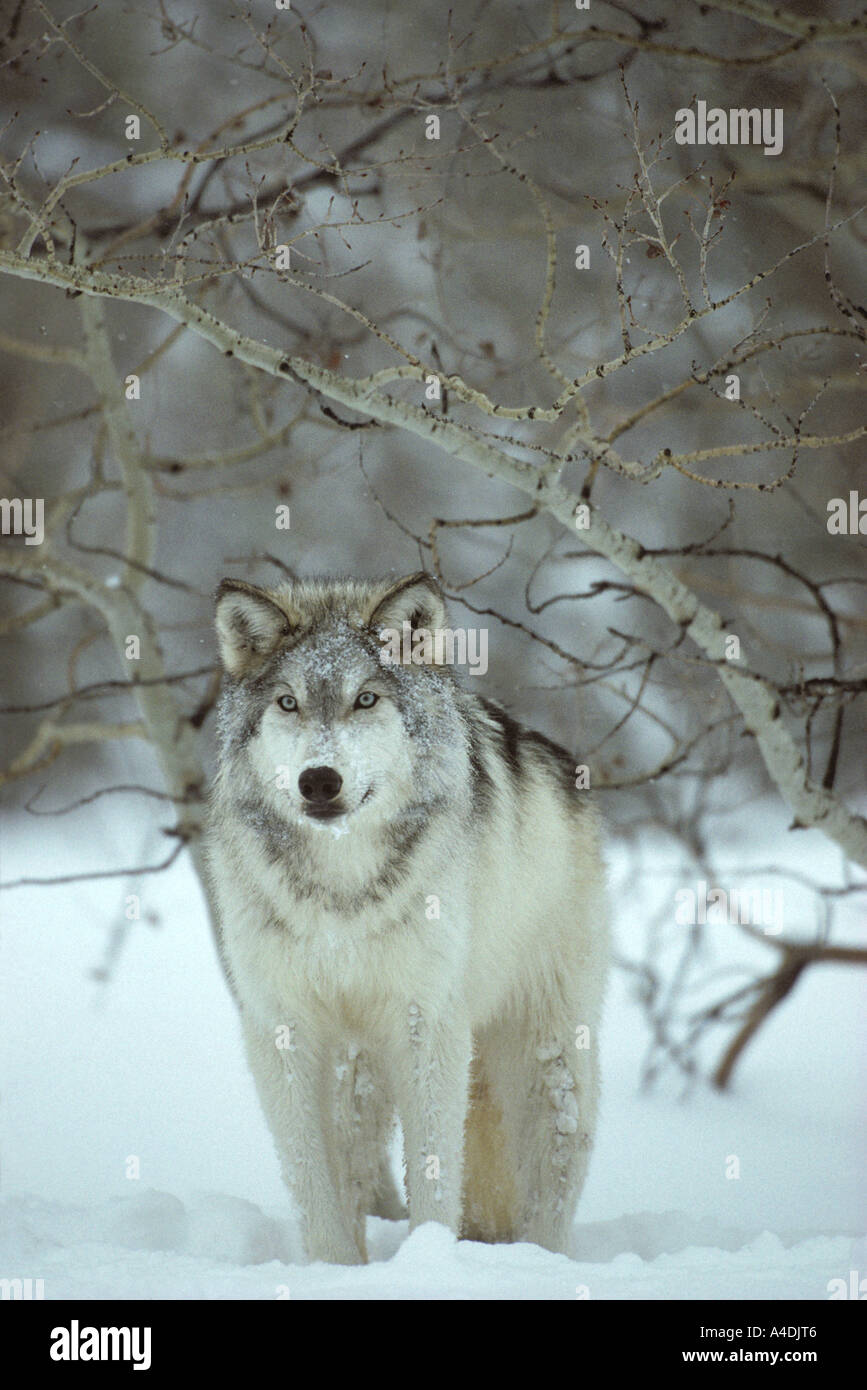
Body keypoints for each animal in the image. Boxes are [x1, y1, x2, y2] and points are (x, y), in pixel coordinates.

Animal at [206, 571, 609, 1265]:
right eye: (288, 703)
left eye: (366, 699)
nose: (319, 780)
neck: (341, 890)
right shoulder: (283, 1024)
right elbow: (311, 1172)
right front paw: (335, 1267)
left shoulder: (431, 1021)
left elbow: (435, 1167)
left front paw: (429, 1259)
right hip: (360, 1060)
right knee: (358, 1157)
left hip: (546, 1049)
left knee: (556, 1162)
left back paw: (543, 1260)